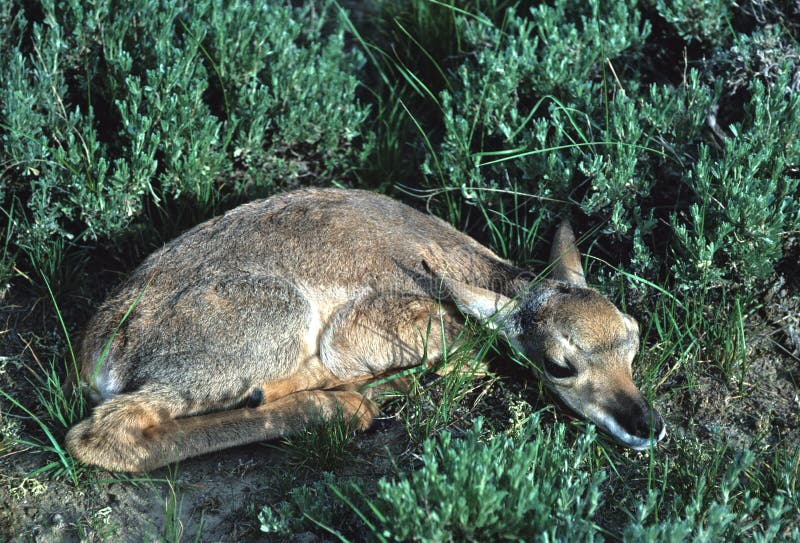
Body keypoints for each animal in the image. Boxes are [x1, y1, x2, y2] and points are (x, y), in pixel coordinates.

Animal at [65, 188, 665, 472]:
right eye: (560, 364)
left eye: (632, 336)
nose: (647, 425)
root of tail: (98, 348)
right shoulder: (362, 333)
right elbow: (466, 350)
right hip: (275, 322)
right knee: (104, 434)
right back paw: (341, 402)